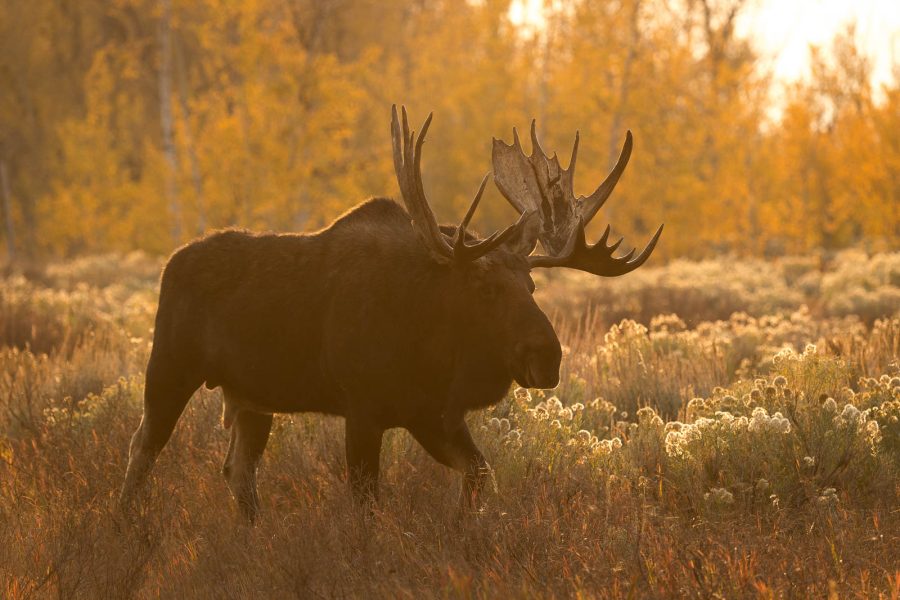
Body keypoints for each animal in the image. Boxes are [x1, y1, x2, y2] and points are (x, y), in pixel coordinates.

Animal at [119, 106, 663, 521]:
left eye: (531, 285)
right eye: (484, 287)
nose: (547, 357)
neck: (432, 347)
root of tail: (171, 262)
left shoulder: (432, 415)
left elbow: (479, 475)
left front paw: (463, 531)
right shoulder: (363, 409)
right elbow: (366, 507)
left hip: (252, 397)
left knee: (237, 471)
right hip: (169, 367)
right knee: (142, 448)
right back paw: (127, 529)